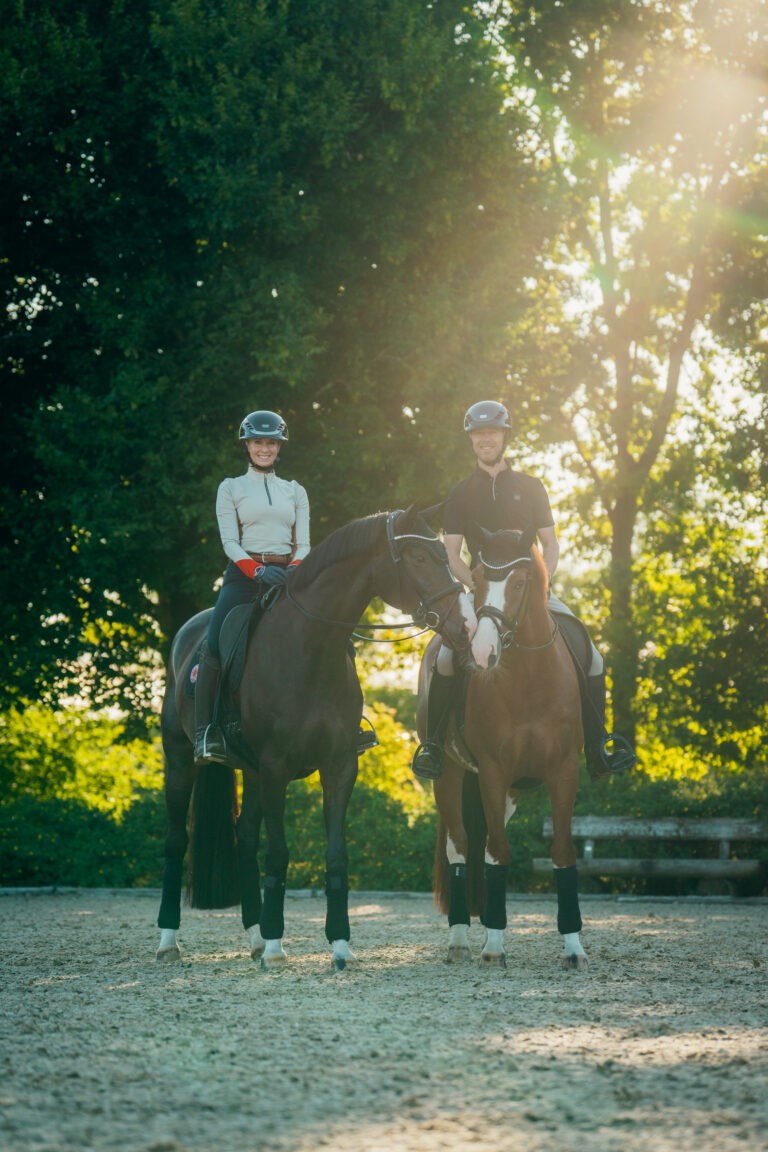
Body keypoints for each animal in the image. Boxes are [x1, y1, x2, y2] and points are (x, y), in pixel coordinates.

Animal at [157, 506, 469, 970]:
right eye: (417, 557)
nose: (463, 627)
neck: (308, 648)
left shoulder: (339, 766)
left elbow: (335, 854)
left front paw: (339, 944)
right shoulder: (275, 769)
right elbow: (279, 853)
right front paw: (276, 945)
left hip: (250, 773)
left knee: (245, 840)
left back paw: (253, 936)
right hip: (181, 760)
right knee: (177, 840)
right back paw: (169, 939)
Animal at [419, 526, 588, 970]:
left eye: (519, 581)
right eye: (476, 579)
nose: (481, 651)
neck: (529, 677)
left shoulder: (563, 771)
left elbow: (562, 852)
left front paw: (574, 947)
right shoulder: (492, 771)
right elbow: (496, 850)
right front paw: (493, 946)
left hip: (510, 791)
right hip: (450, 776)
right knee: (461, 846)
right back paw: (460, 939)